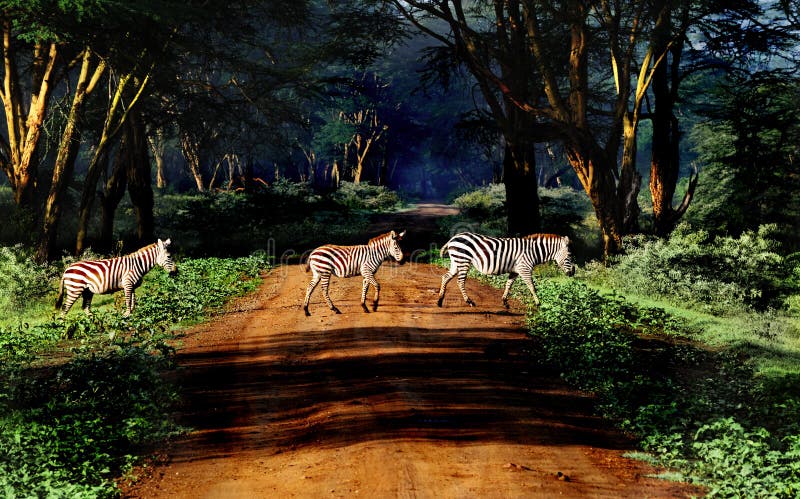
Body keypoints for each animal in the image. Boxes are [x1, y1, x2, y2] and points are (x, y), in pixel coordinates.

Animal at [437, 232, 575, 308]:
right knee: (460, 281)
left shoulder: (515, 271)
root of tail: (453, 238)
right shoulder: (524, 269)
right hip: (463, 260)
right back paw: (469, 301)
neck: (533, 252)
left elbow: (508, 285)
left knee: (445, 277)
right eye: (569, 256)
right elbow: (532, 286)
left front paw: (505, 302)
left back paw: (440, 301)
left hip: (456, 262)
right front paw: (538, 304)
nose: (573, 273)